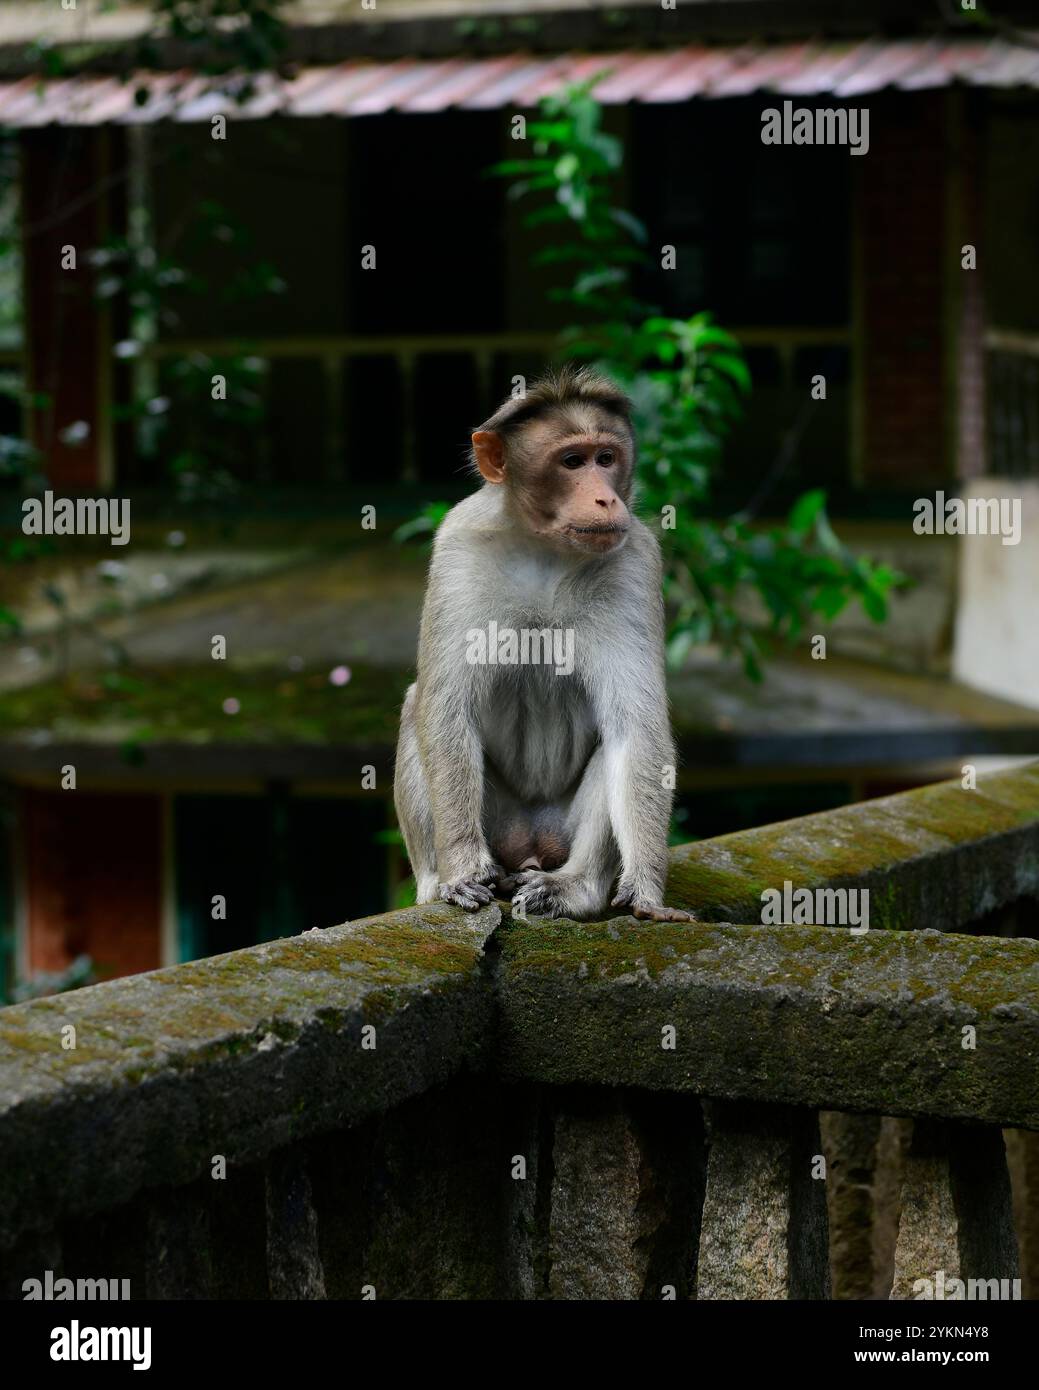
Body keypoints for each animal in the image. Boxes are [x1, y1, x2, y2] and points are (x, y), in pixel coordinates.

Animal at [393, 364, 694, 924]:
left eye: (606, 458)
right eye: (572, 461)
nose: (606, 498)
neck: (545, 549)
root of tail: (532, 844)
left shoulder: (637, 561)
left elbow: (636, 726)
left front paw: (647, 891)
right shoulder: (457, 549)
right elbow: (446, 707)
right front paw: (462, 870)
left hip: (559, 832)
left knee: (613, 741)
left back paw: (575, 888)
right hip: (501, 824)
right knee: (415, 705)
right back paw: (434, 883)